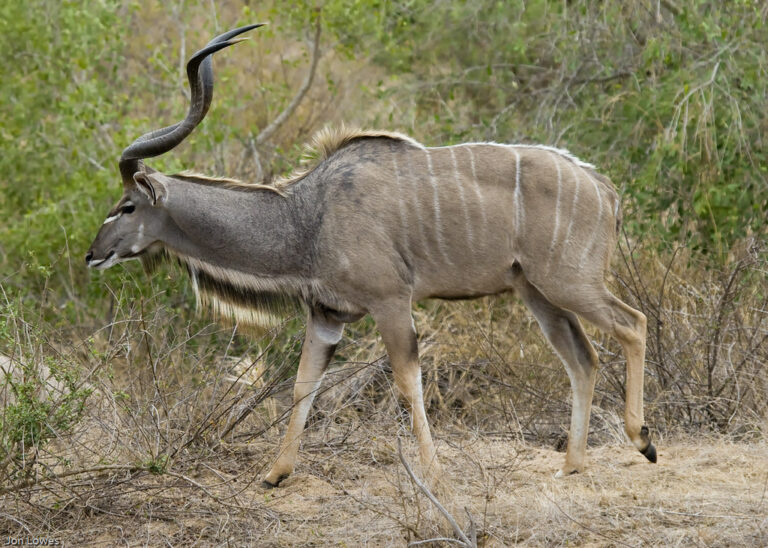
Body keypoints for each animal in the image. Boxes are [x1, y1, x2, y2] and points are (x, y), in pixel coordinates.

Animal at [86, 24, 657, 488]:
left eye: (127, 205)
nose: (93, 255)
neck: (305, 216)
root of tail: (604, 188)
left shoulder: (391, 303)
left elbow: (407, 383)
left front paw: (434, 475)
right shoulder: (327, 316)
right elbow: (303, 385)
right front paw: (275, 473)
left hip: (568, 281)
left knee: (632, 323)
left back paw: (642, 439)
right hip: (534, 290)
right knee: (582, 357)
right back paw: (573, 464)